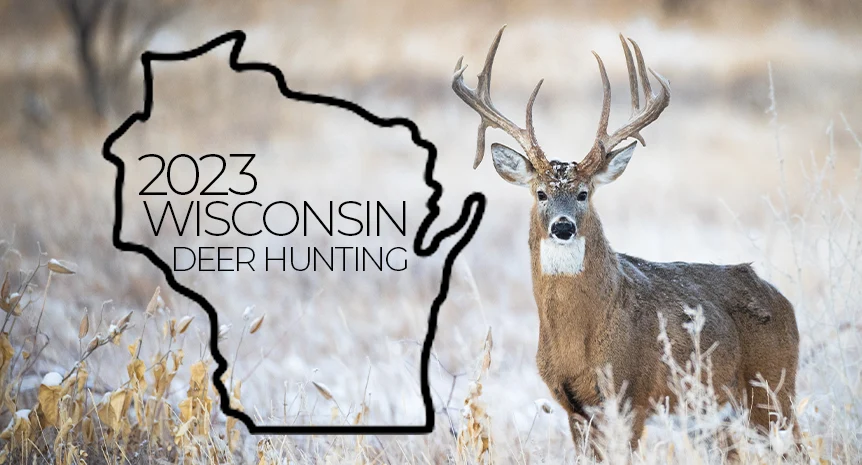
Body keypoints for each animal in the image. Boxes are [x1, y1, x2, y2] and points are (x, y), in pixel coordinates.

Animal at [452, 26, 800, 450]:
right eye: (541, 193)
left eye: (584, 193)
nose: (563, 227)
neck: (578, 338)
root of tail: (784, 303)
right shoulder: (573, 405)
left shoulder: (632, 392)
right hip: (714, 412)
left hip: (773, 389)